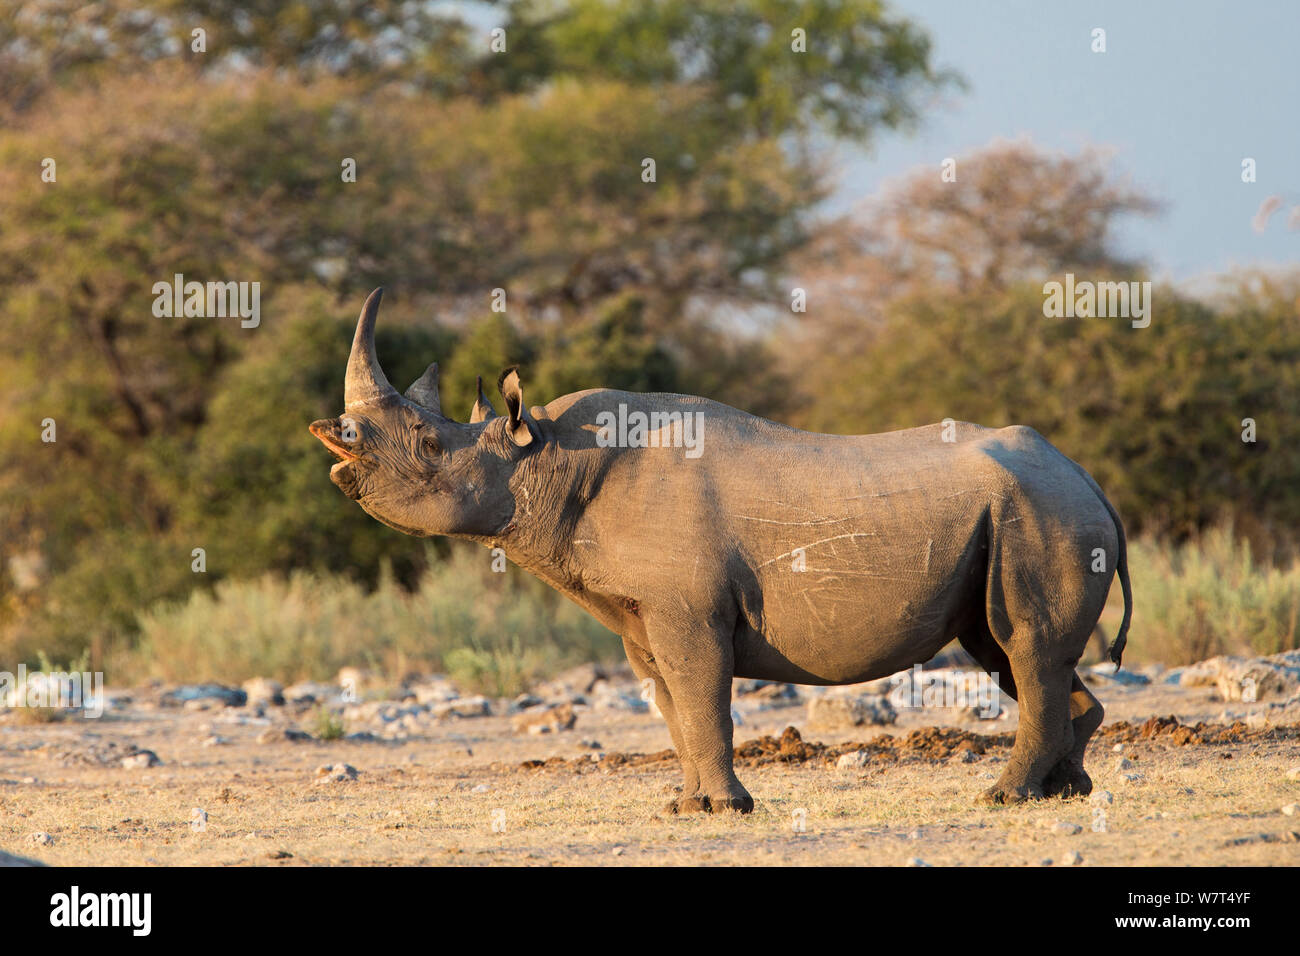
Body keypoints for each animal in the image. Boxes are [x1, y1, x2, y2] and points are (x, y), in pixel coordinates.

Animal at [311, 289, 1133, 812]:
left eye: (427, 444)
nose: (333, 448)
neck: (543, 459)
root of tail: (1087, 478)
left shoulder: (688, 609)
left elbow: (704, 698)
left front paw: (728, 809)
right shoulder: (642, 614)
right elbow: (674, 706)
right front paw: (686, 807)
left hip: (1044, 513)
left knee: (1024, 647)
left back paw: (1003, 797)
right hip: (1034, 510)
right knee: (1014, 653)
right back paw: (1063, 793)